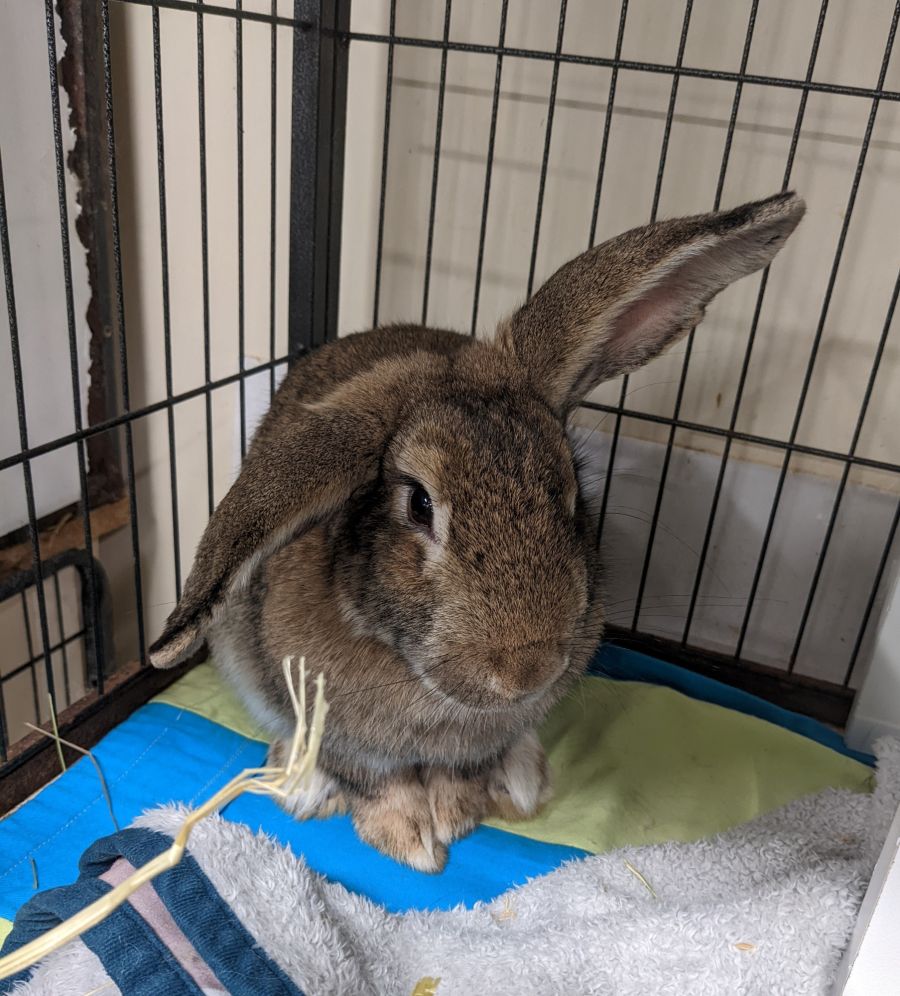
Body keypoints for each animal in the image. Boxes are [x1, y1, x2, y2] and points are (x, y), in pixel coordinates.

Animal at [149, 192, 805, 871]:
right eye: (418, 504)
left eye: (571, 490)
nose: (530, 672)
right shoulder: (330, 723)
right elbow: (371, 776)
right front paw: (410, 839)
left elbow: (455, 772)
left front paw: (455, 812)